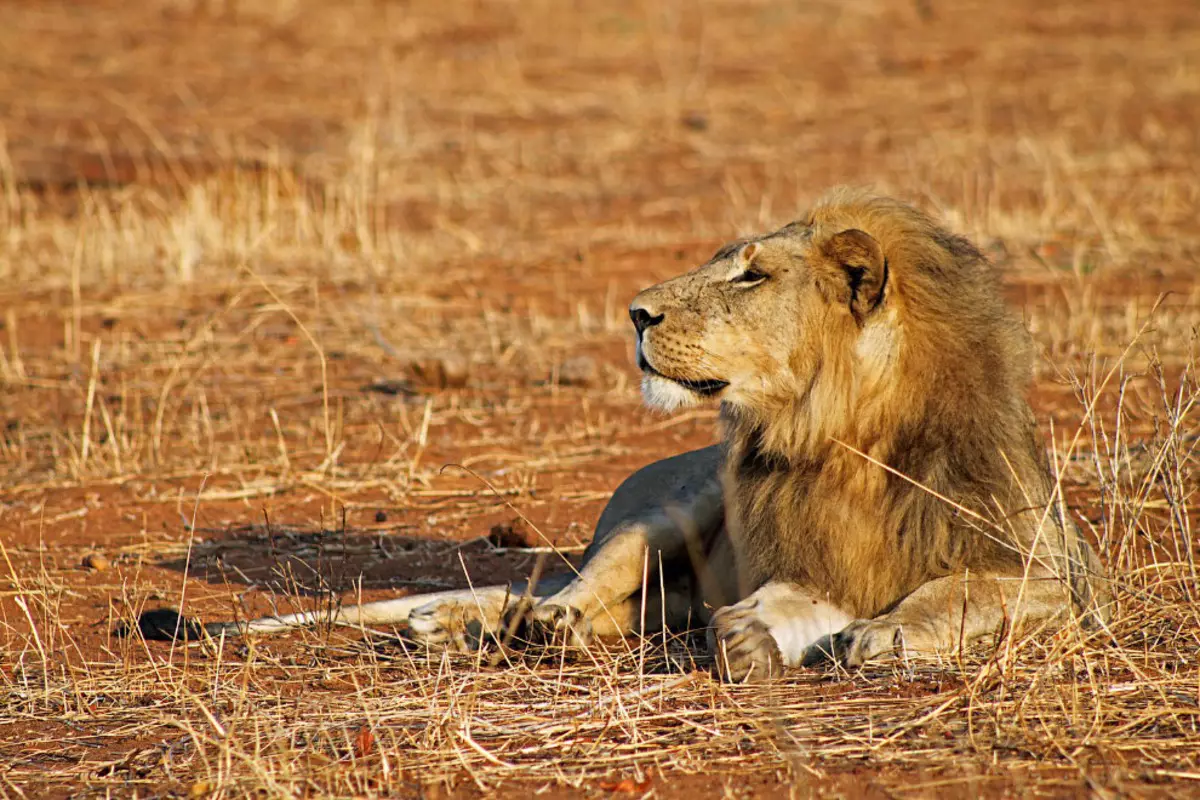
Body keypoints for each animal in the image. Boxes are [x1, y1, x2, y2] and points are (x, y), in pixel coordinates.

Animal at [126, 189, 1108, 681]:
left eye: (750, 276)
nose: (636, 313)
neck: (843, 436)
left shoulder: (1063, 581)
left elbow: (957, 592)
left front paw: (876, 634)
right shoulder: (797, 550)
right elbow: (795, 595)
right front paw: (766, 628)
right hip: (666, 506)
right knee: (571, 595)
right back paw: (501, 627)